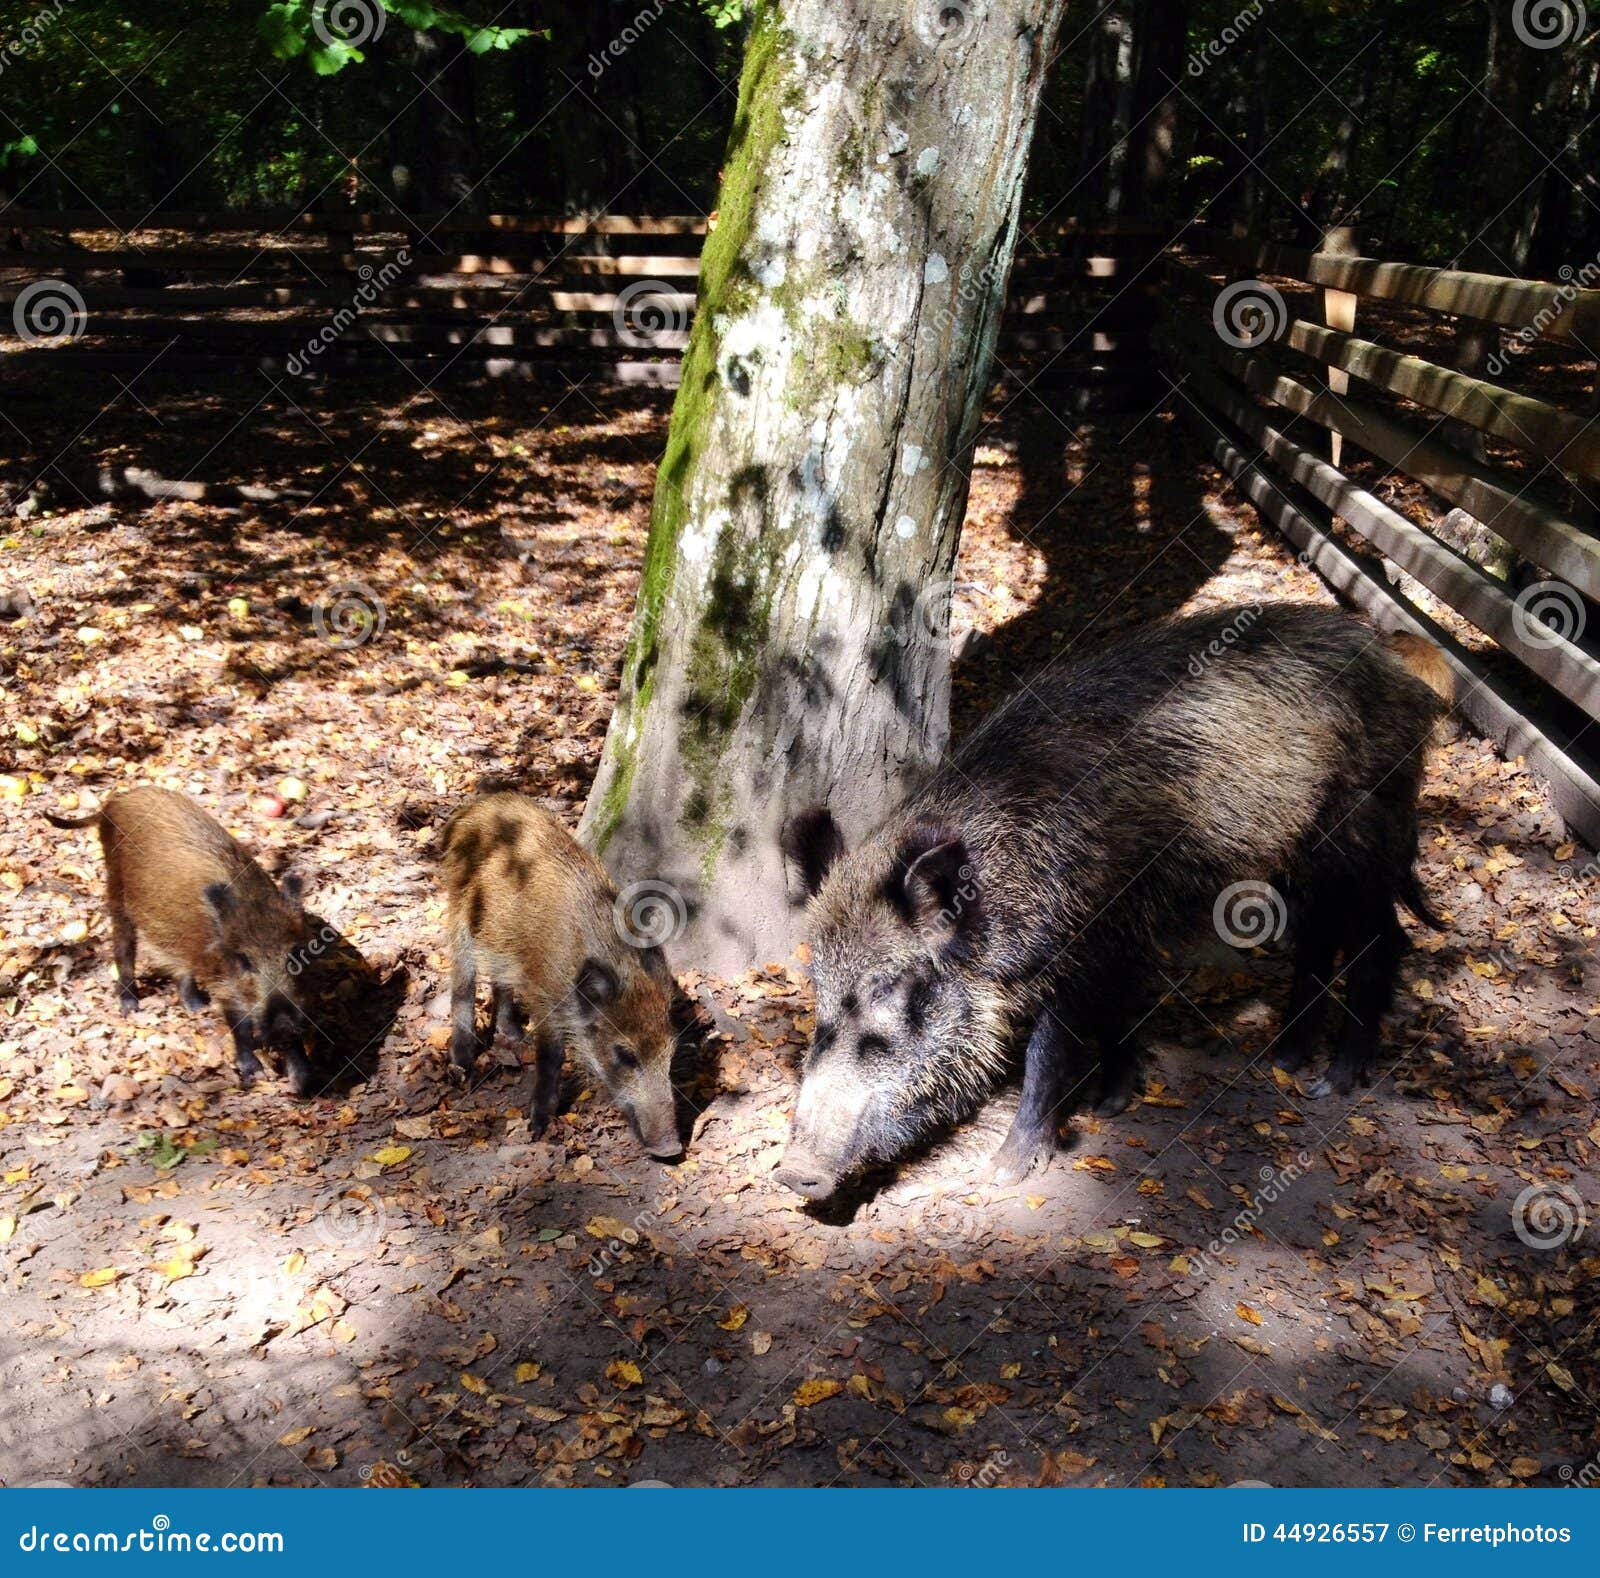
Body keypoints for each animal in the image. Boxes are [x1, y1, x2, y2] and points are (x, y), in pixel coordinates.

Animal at [44, 788, 316, 1094]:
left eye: (296, 955)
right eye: (245, 960)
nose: (284, 1026)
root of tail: (113, 803)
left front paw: (305, 1082)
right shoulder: (224, 984)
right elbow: (238, 1025)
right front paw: (255, 1074)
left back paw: (196, 1007)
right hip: (116, 888)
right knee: (123, 946)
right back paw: (130, 1005)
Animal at [439, 792, 681, 1158]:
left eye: (670, 1054)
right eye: (625, 1055)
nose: (673, 1149)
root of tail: (477, 805)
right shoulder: (546, 996)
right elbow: (551, 1057)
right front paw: (537, 1127)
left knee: (500, 981)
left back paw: (514, 1037)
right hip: (460, 912)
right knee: (462, 983)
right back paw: (463, 1068)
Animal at [776, 603, 1448, 1200]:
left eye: (898, 992)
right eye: (820, 1000)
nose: (791, 1171)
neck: (1003, 888)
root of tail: (1393, 660)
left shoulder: (1085, 942)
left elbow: (1050, 1052)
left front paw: (1007, 1171)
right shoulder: (1118, 936)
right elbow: (1119, 1012)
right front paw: (1112, 1102)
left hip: (1360, 838)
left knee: (1383, 940)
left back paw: (1335, 1083)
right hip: (1297, 859)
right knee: (1316, 939)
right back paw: (1281, 1060)